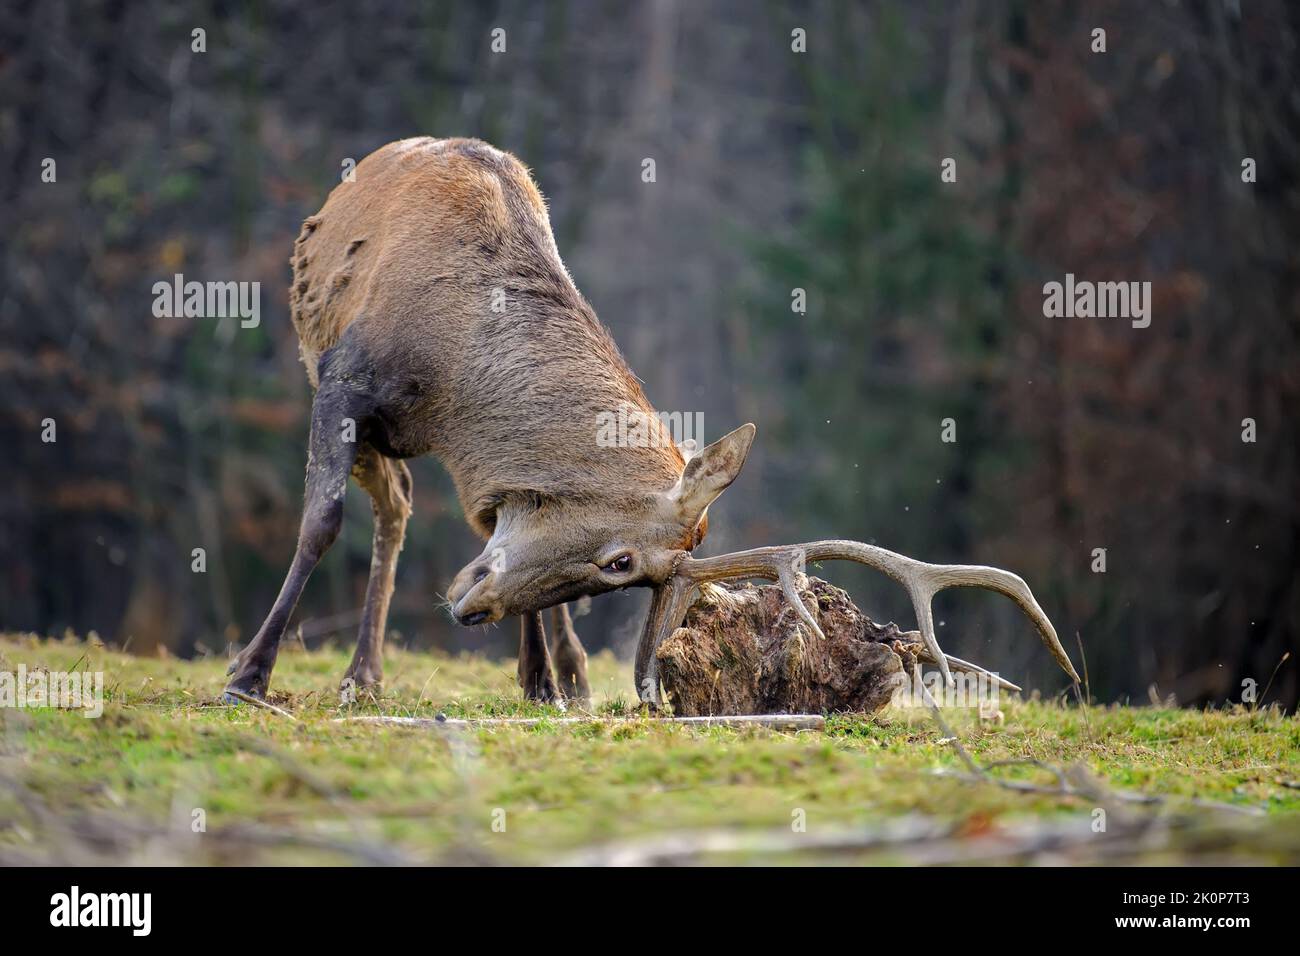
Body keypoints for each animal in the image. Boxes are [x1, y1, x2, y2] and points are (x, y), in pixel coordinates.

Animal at [224, 136, 1080, 708]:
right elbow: (320, 521)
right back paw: (364, 673)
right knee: (395, 507)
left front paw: (550, 678)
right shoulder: (342, 382)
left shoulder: (487, 477)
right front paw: (248, 674)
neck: (452, 376)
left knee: (421, 510)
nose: (473, 609)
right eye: (619, 563)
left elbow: (496, 525)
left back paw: (547, 676)